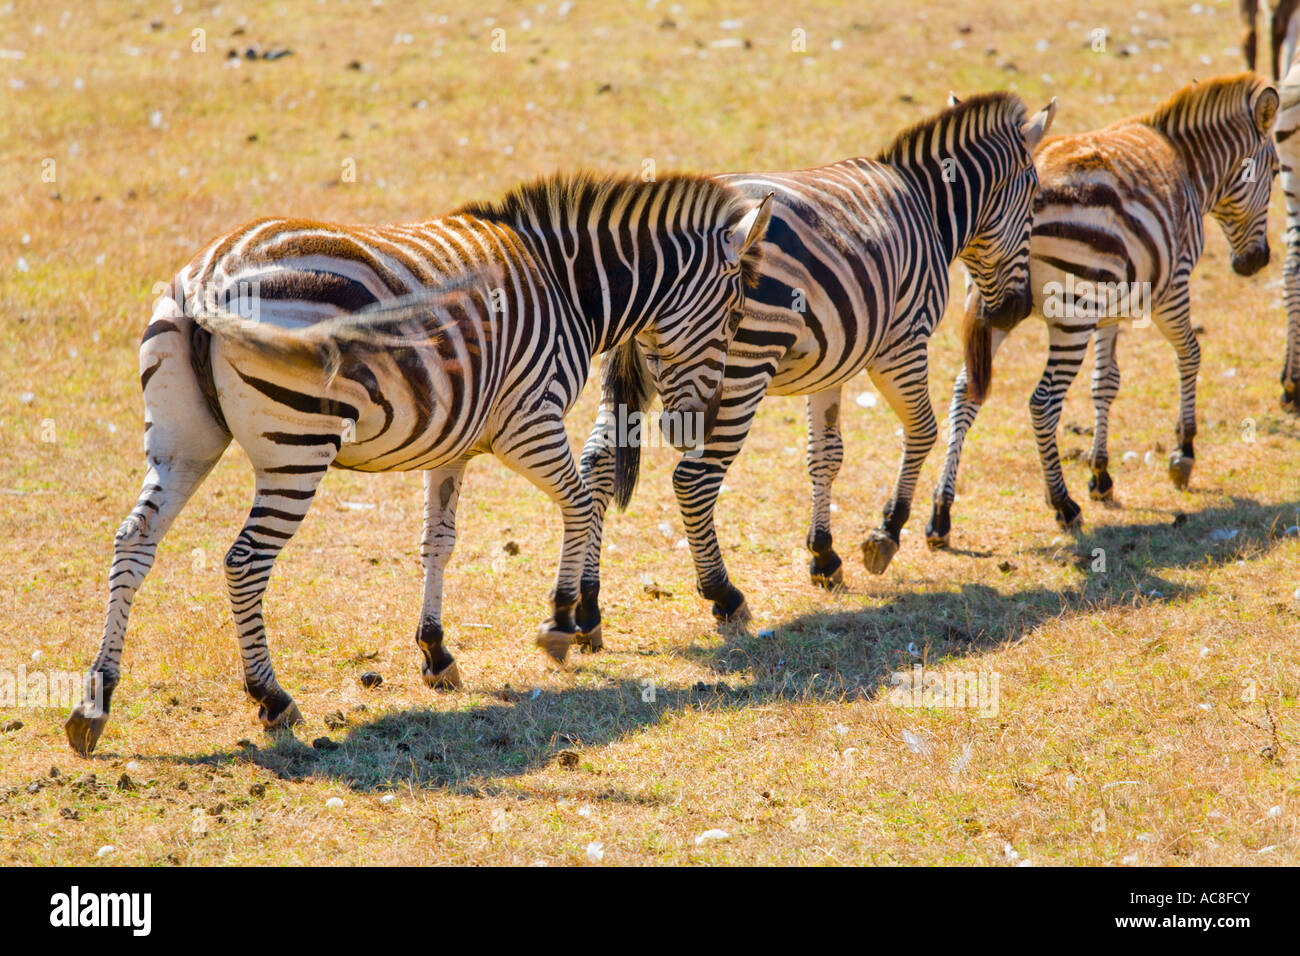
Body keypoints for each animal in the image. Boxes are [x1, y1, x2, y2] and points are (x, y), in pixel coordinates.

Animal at [63, 171, 769, 754]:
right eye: (736, 314)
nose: (702, 423)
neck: (568, 287)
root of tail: (207, 278)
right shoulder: (529, 420)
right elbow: (579, 503)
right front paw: (563, 620)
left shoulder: (453, 443)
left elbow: (439, 542)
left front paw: (436, 651)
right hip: (297, 445)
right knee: (244, 562)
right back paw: (272, 697)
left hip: (184, 441)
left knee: (133, 541)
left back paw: (96, 701)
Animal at [569, 91, 1055, 629]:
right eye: (1035, 200)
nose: (1014, 311)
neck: (928, 208)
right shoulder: (902, 342)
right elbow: (923, 429)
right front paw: (887, 532)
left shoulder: (831, 364)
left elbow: (826, 454)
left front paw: (824, 554)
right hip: (740, 370)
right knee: (694, 480)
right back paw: (723, 594)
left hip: (654, 370)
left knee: (597, 465)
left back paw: (586, 606)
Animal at [925, 74, 1279, 546]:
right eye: (1275, 173)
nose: (1255, 262)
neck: (1188, 166)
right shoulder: (1172, 288)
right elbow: (1190, 354)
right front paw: (1183, 452)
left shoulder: (1110, 309)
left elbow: (1105, 383)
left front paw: (1101, 473)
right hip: (1070, 318)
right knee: (1042, 403)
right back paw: (1063, 504)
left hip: (993, 303)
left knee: (965, 390)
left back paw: (940, 513)